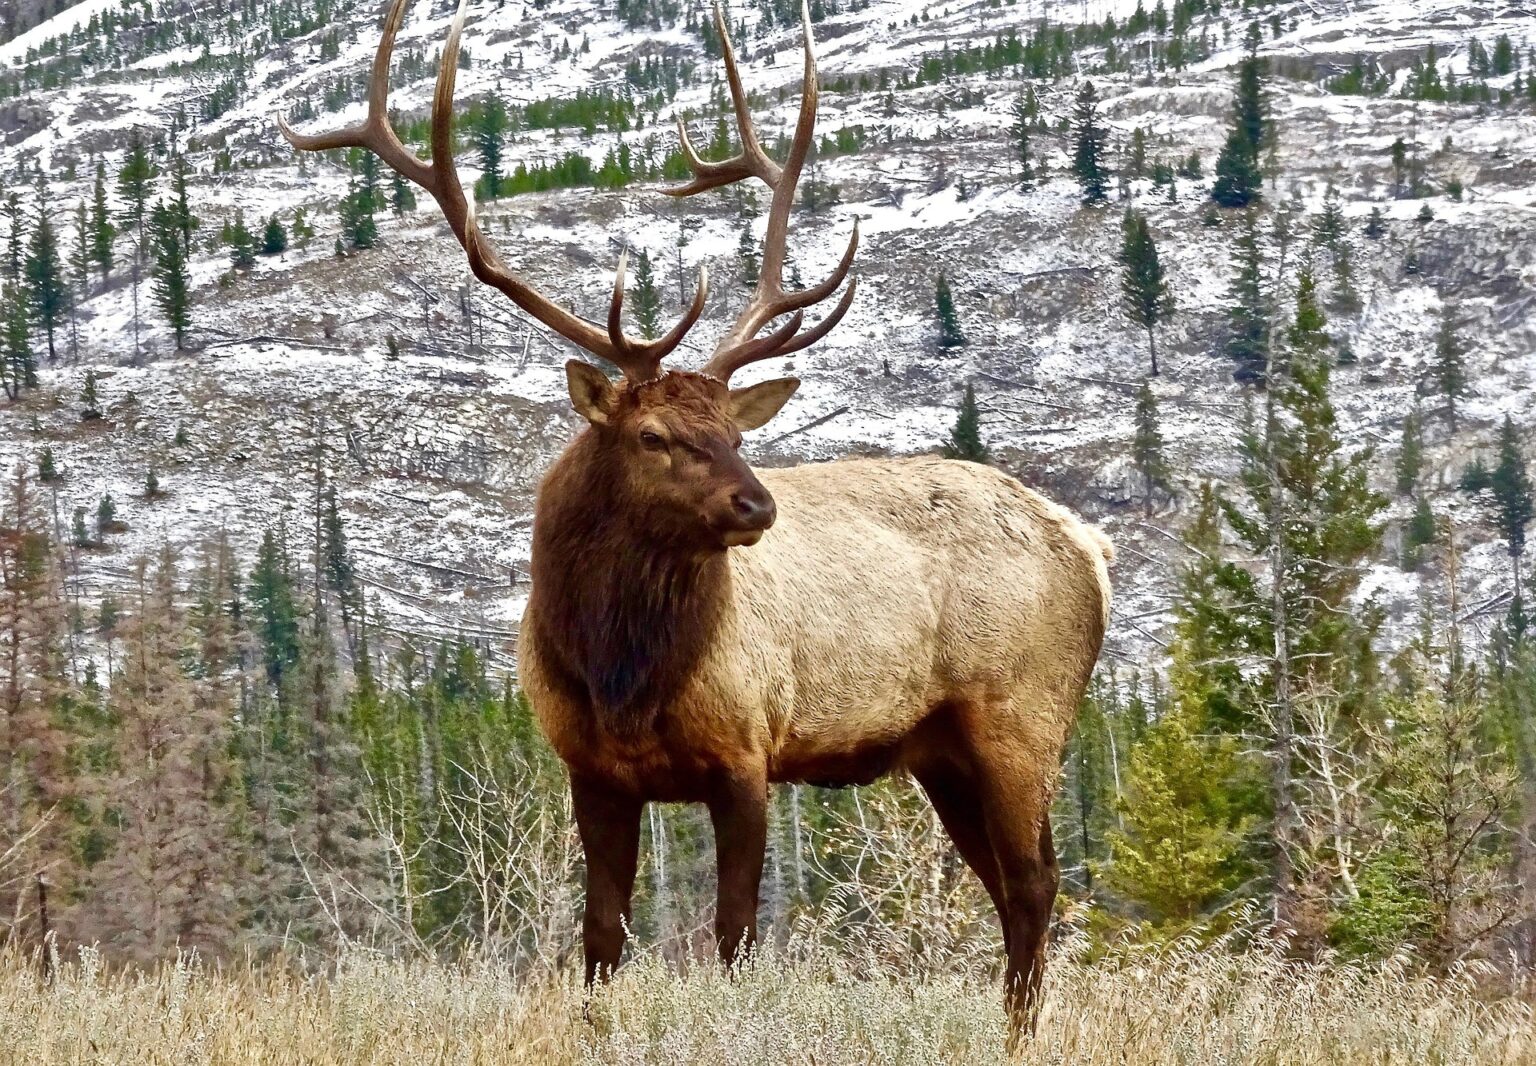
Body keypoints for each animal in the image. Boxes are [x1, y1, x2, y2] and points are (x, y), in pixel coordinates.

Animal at [281, 0, 1112, 1043]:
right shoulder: (591, 771)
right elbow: (601, 937)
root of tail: (1091, 547)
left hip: (1021, 715)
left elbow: (733, 935)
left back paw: (1020, 1031)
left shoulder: (747, 752)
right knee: (1010, 888)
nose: (757, 504)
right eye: (653, 434)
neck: (620, 672)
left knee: (1038, 884)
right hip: (944, 751)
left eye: (734, 430)